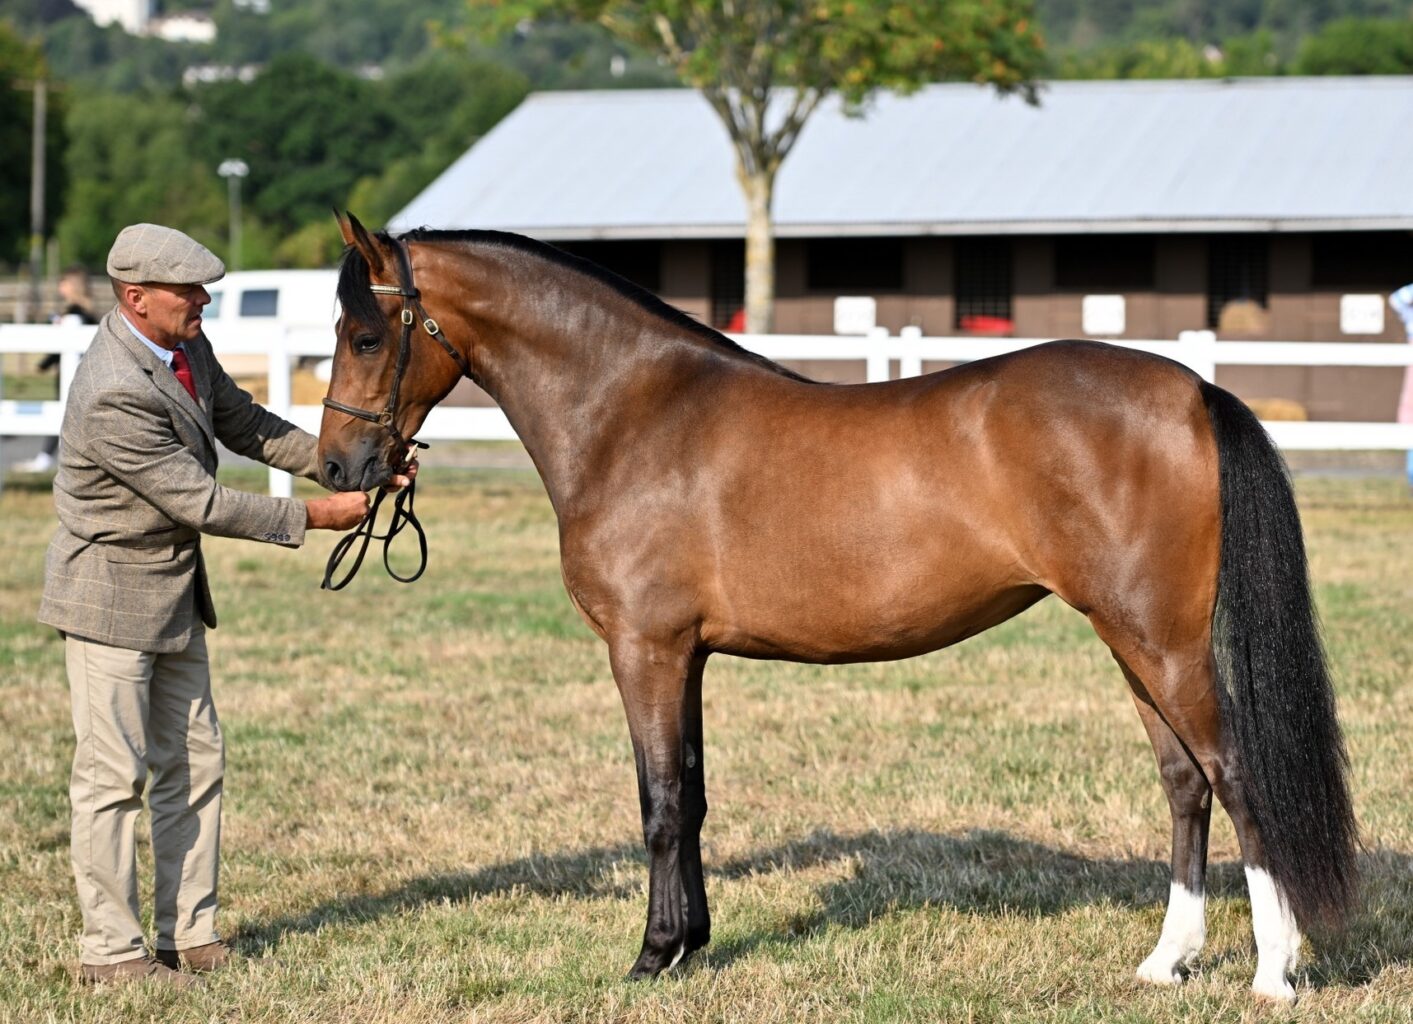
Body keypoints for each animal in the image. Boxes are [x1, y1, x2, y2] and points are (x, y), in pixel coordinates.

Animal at [316, 213, 1357, 1000]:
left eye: (367, 337)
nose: (335, 467)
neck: (635, 413)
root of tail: (1192, 390)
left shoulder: (645, 648)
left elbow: (659, 802)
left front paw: (652, 957)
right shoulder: (687, 655)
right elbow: (692, 794)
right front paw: (691, 944)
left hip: (1161, 642)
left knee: (1234, 775)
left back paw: (1272, 973)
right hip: (1131, 640)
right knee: (1184, 785)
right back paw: (1164, 961)